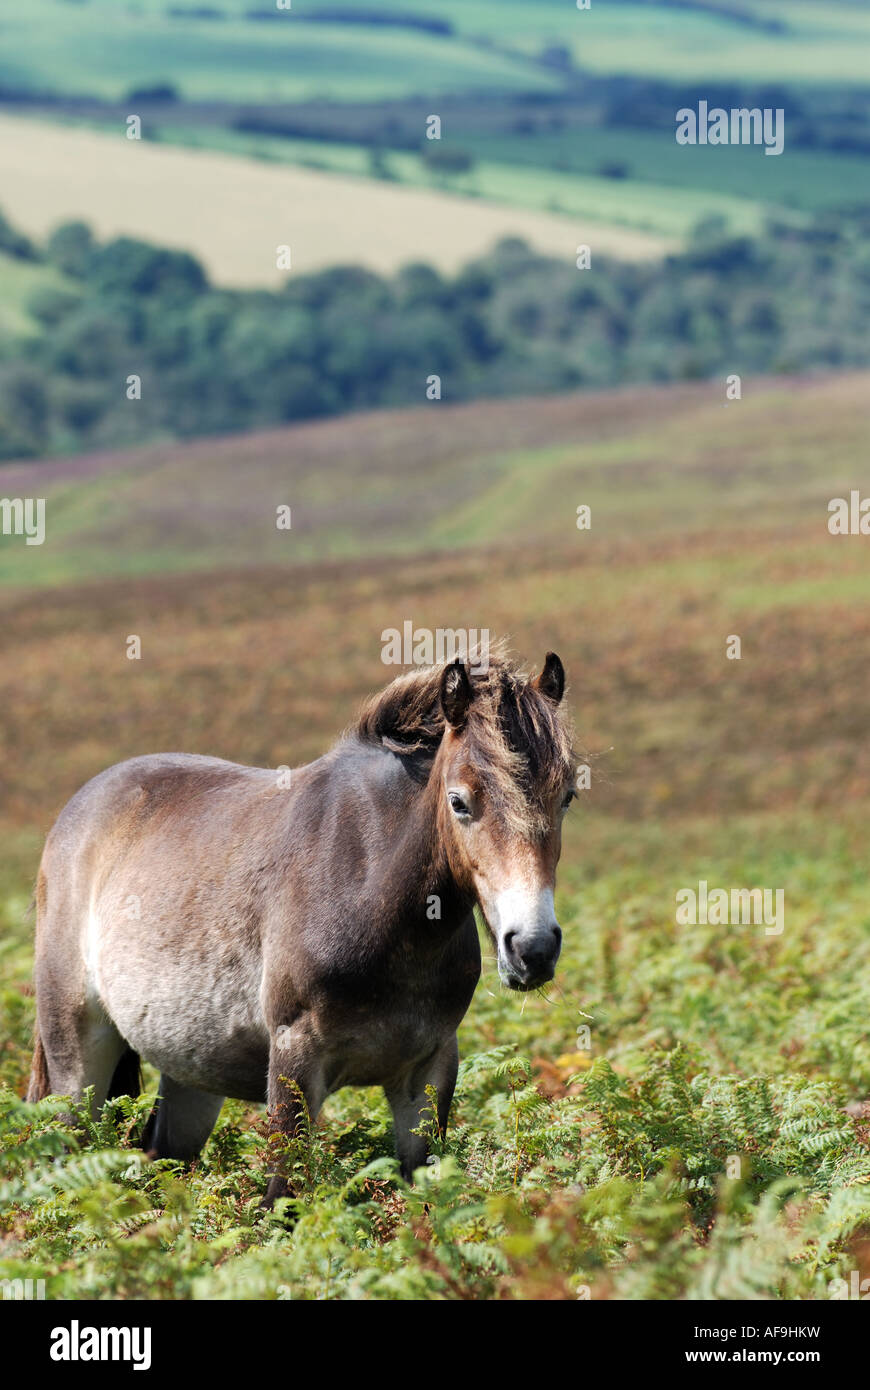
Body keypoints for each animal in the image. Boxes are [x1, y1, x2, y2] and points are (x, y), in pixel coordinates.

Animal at [27, 647, 577, 1203]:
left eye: (567, 797)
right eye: (459, 801)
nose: (532, 949)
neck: (374, 890)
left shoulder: (428, 1071)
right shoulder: (295, 1060)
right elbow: (282, 1200)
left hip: (190, 1075)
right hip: (76, 1057)